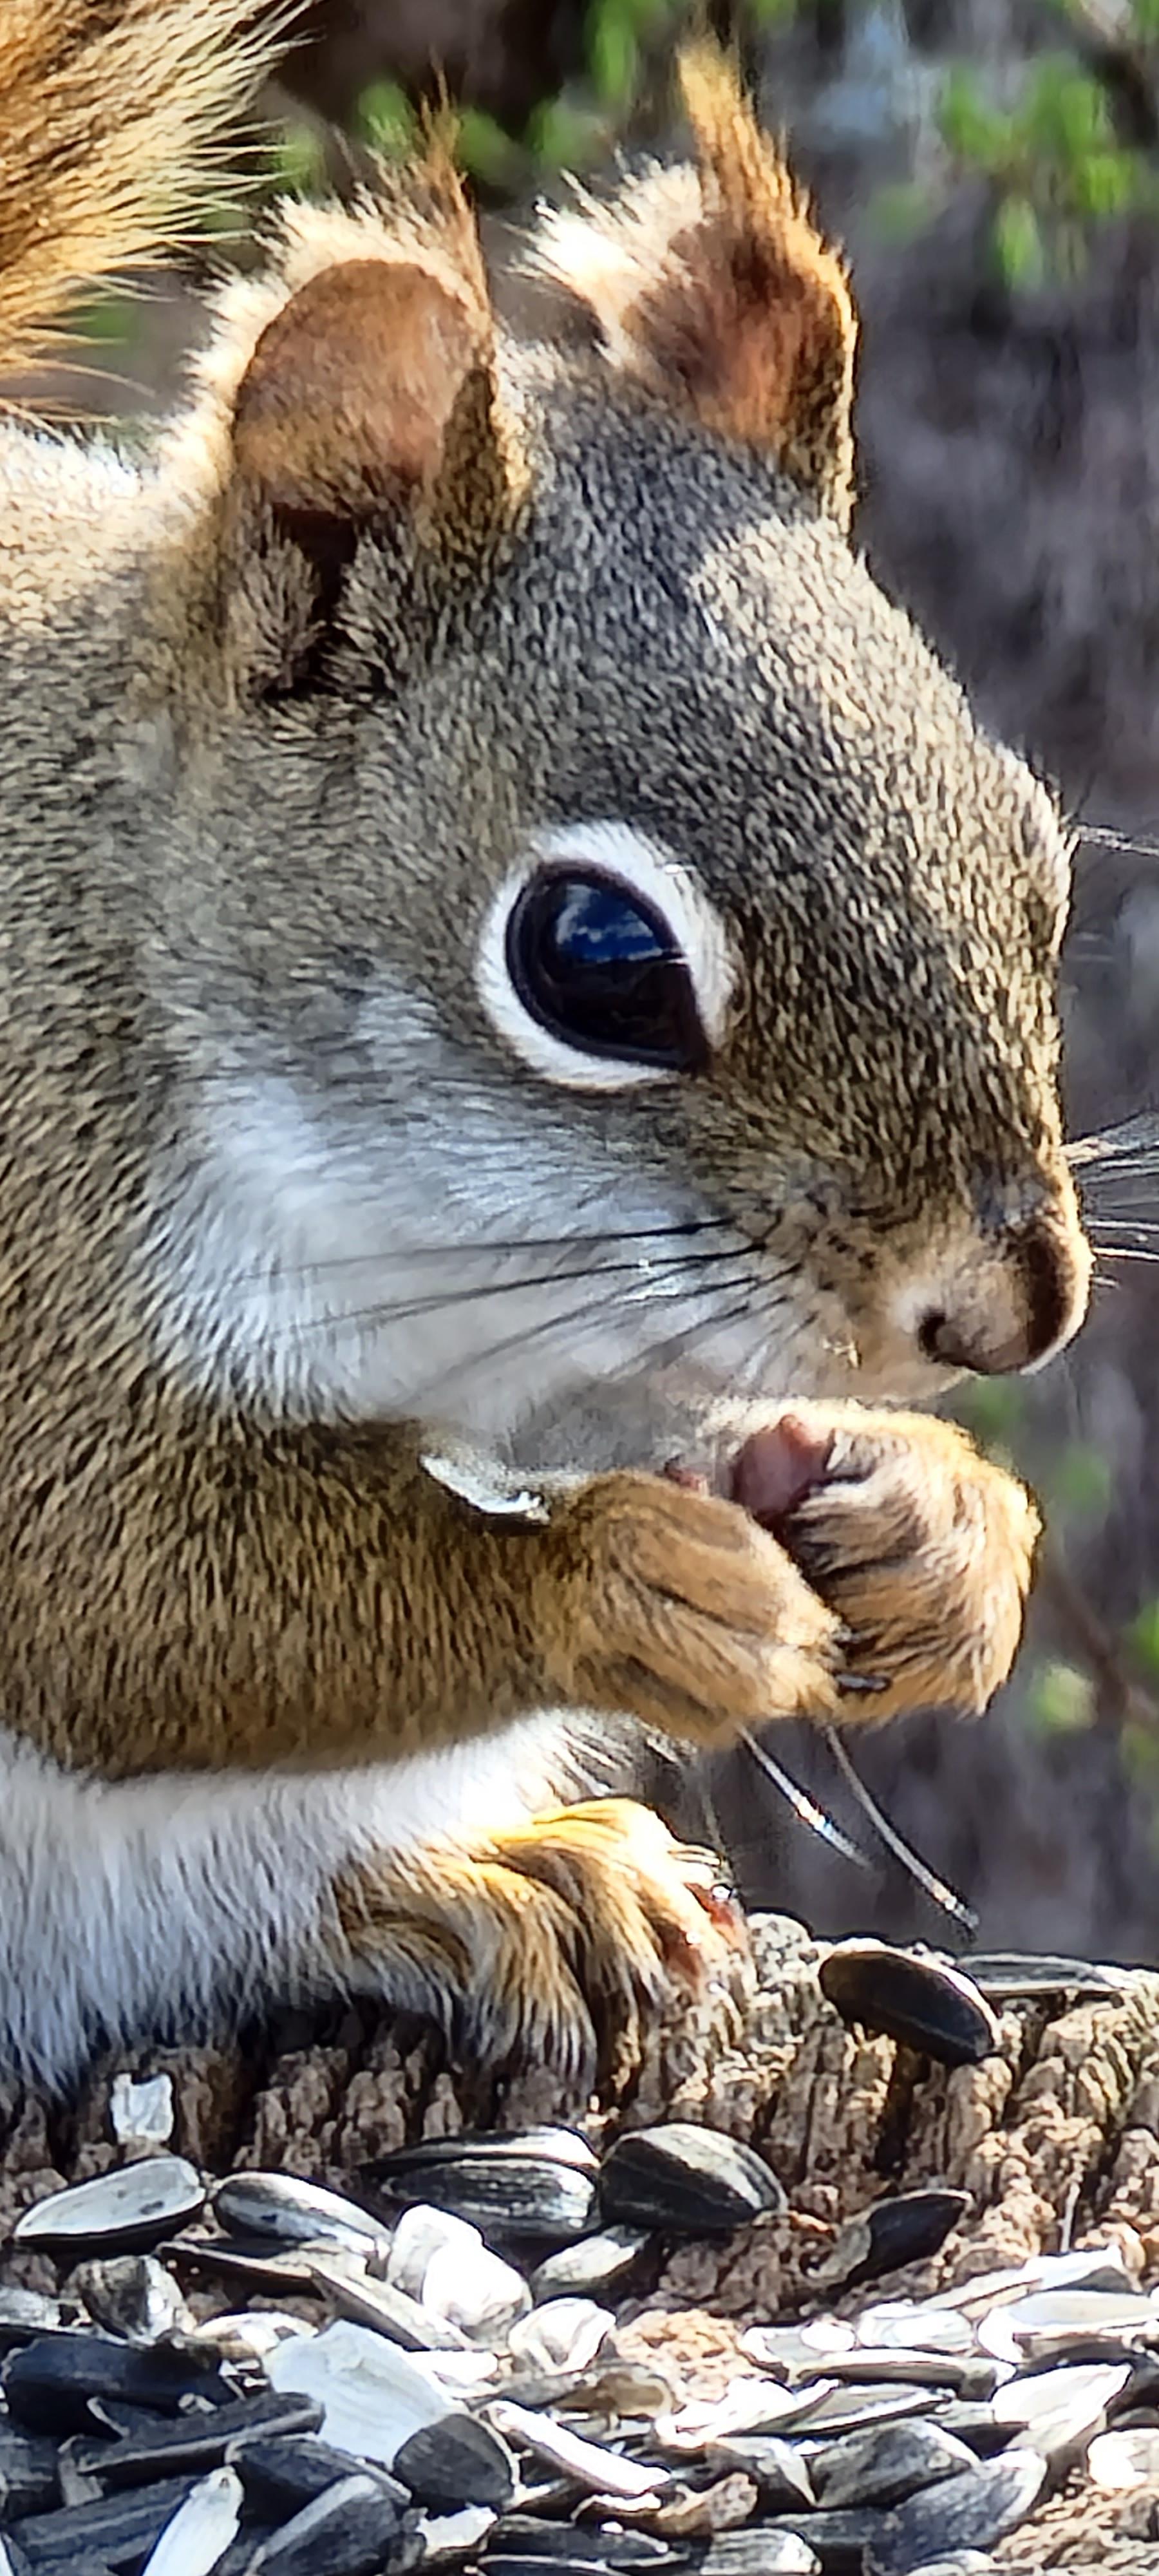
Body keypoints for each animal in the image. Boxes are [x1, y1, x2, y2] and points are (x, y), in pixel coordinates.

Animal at [0, 0, 1091, 2096]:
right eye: (594, 958)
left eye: (1039, 866)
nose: (1014, 1313)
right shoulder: (30, 1237)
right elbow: (104, 1584)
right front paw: (616, 1580)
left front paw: (942, 1525)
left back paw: (507, 1878)